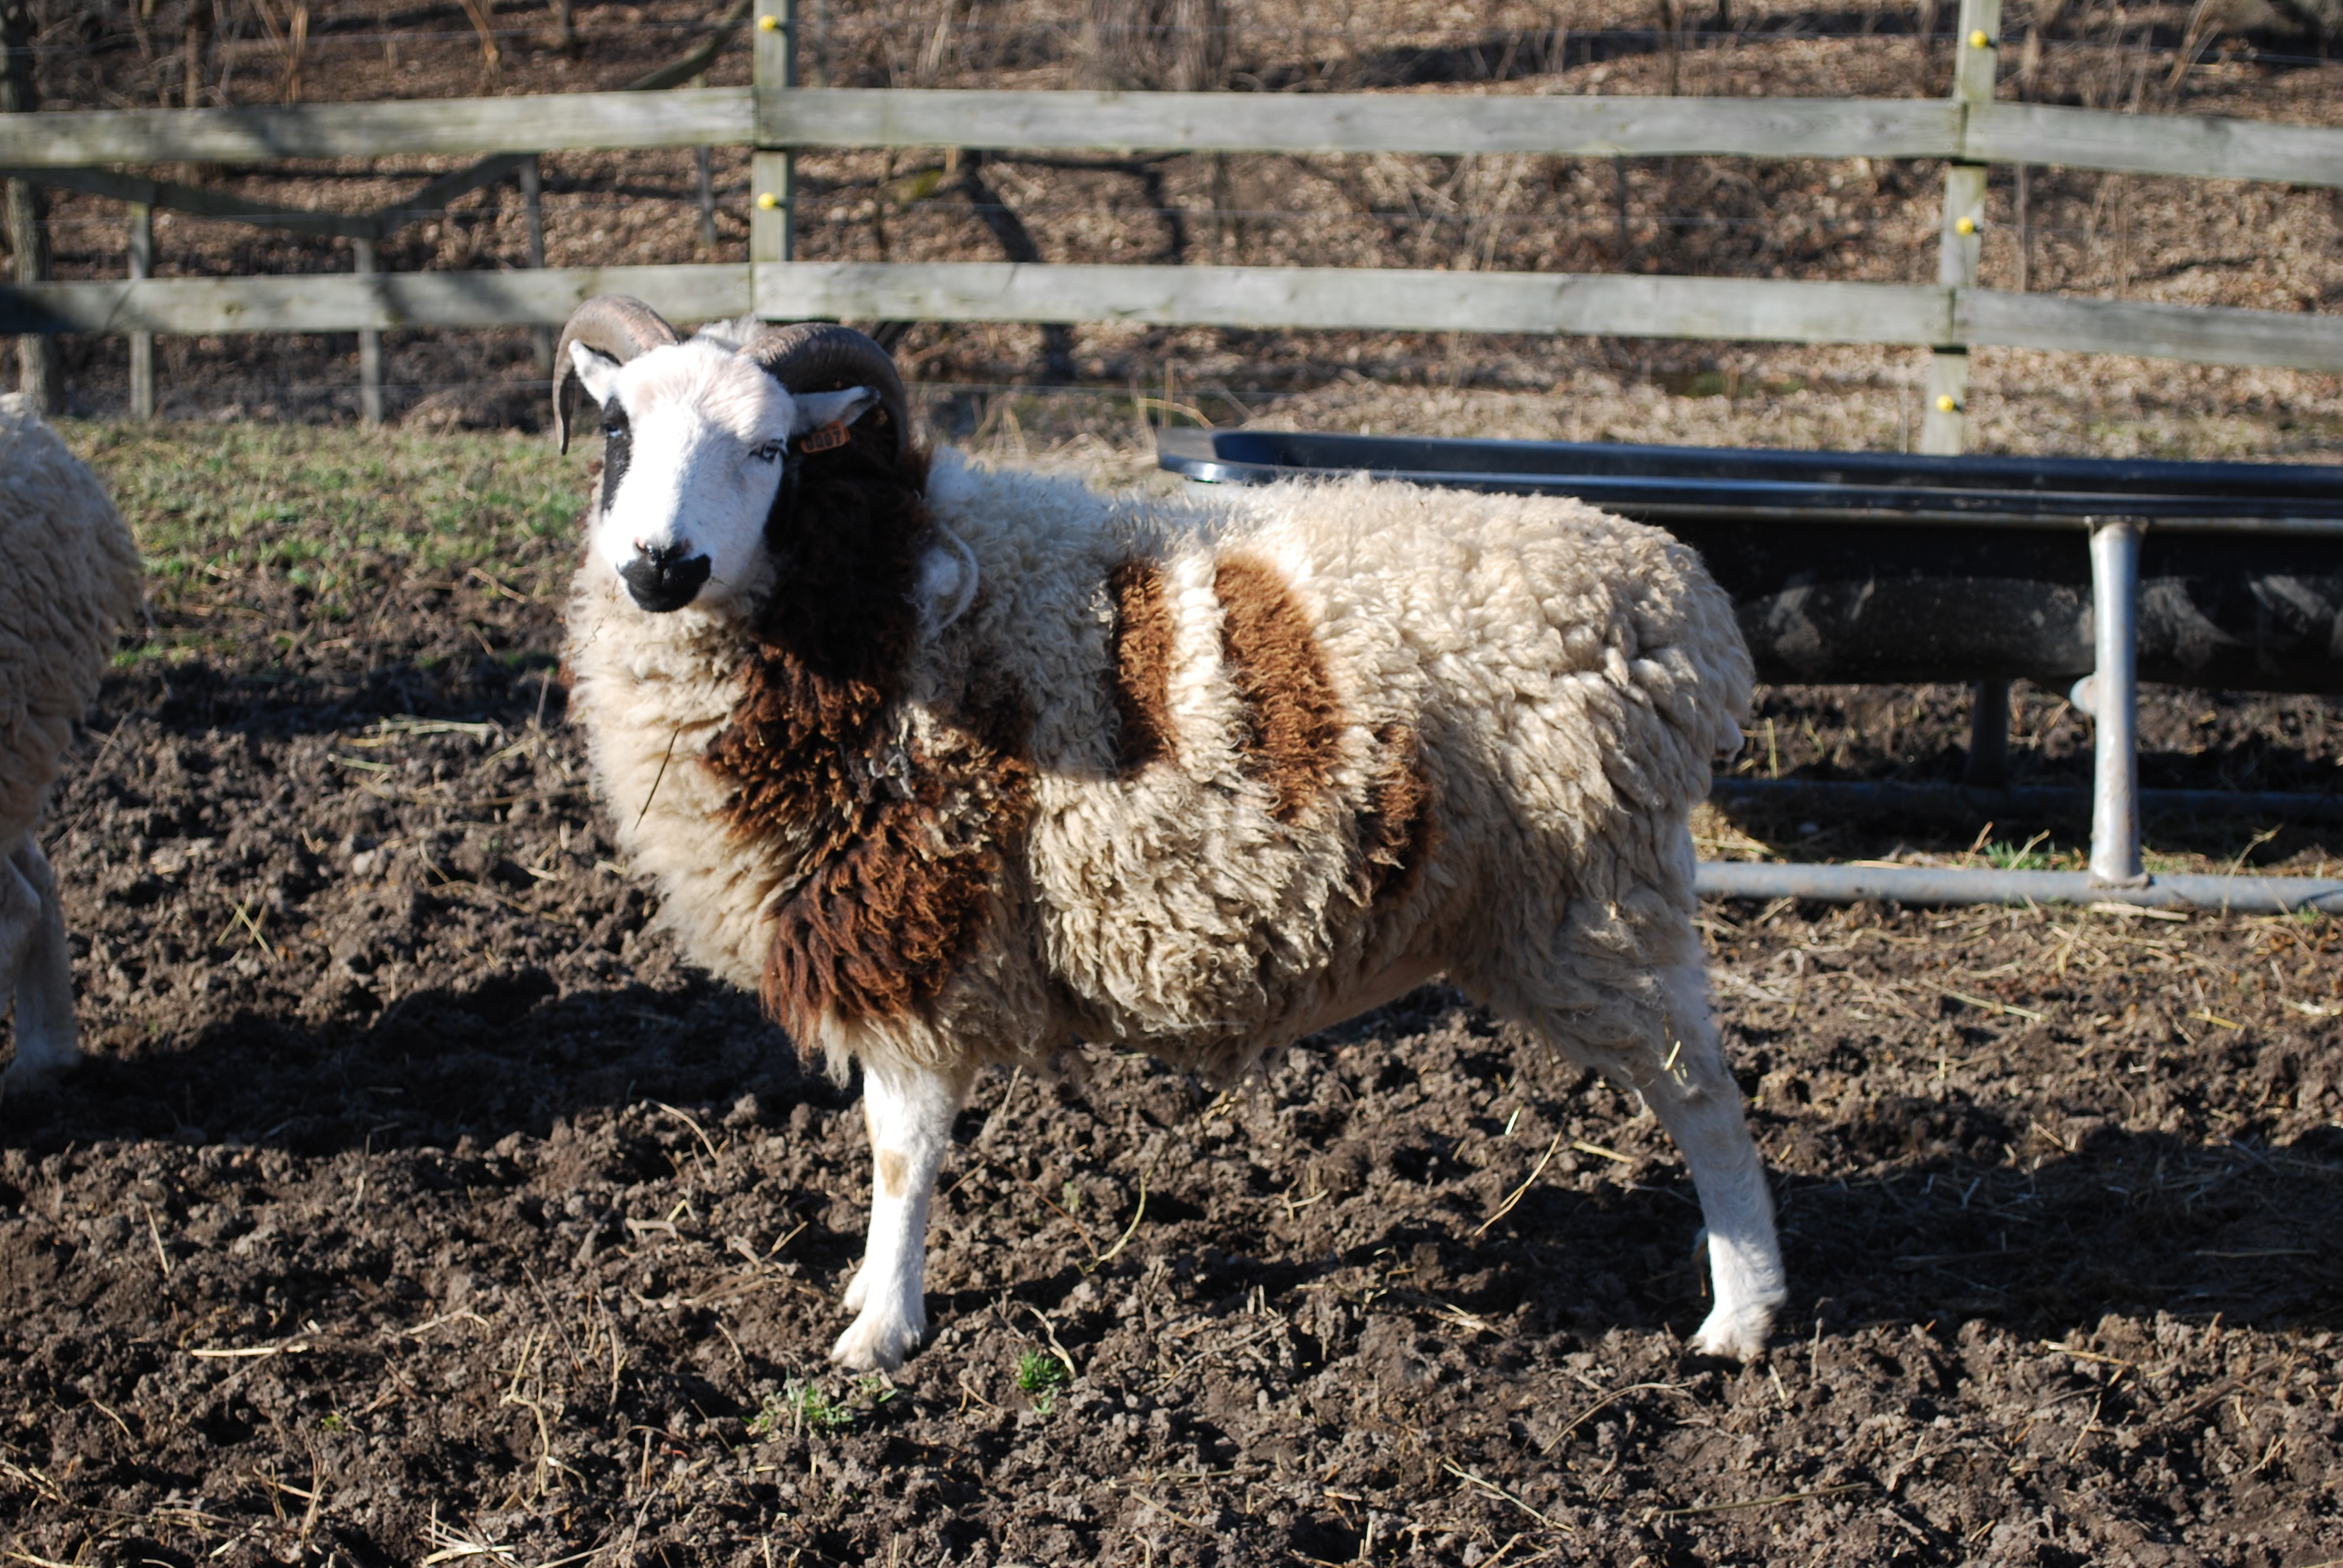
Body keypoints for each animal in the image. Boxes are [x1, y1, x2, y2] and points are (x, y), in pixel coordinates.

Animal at [553, 296, 1785, 1373]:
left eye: (771, 450)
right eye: (618, 430)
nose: (662, 564)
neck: (869, 591)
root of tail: (1677, 598)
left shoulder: (924, 918)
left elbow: (902, 1152)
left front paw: (881, 1331)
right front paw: (865, 1292)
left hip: (1589, 901)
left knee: (1707, 1100)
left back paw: (1741, 1319)